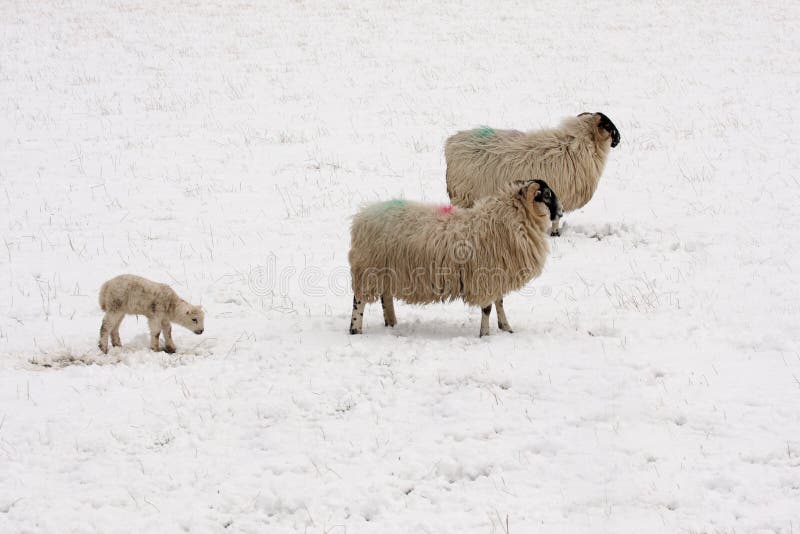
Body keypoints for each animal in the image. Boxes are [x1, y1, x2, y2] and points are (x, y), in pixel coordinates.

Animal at [348, 179, 562, 337]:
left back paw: (391, 323)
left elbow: (499, 302)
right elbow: (487, 308)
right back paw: (356, 329)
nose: (561, 211)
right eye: (547, 195)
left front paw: (506, 328)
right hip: (368, 268)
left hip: (386, 269)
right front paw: (485, 334)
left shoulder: (496, 274)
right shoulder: (485, 276)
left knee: (386, 297)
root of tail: (362, 217)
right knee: (359, 300)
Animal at [445, 112, 620, 236]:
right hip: (464, 194)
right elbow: (556, 217)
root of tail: (451, 143)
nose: (619, 139)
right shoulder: (557, 194)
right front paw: (555, 233)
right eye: (608, 125)